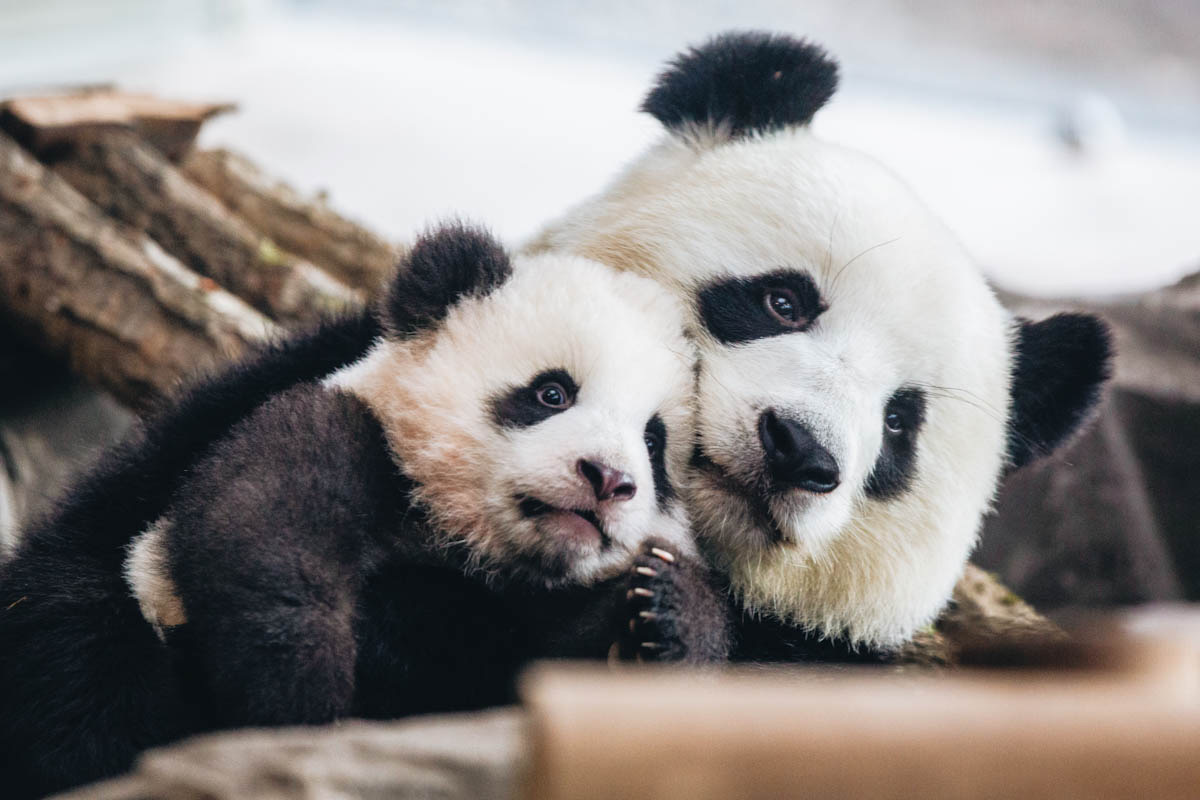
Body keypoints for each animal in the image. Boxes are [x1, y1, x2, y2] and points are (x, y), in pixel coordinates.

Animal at [0, 223, 724, 798]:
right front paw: (302, 700)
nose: (608, 479)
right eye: (552, 392)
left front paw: (662, 615)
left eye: (654, 443)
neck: (465, 544)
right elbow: (261, 525)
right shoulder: (345, 431)